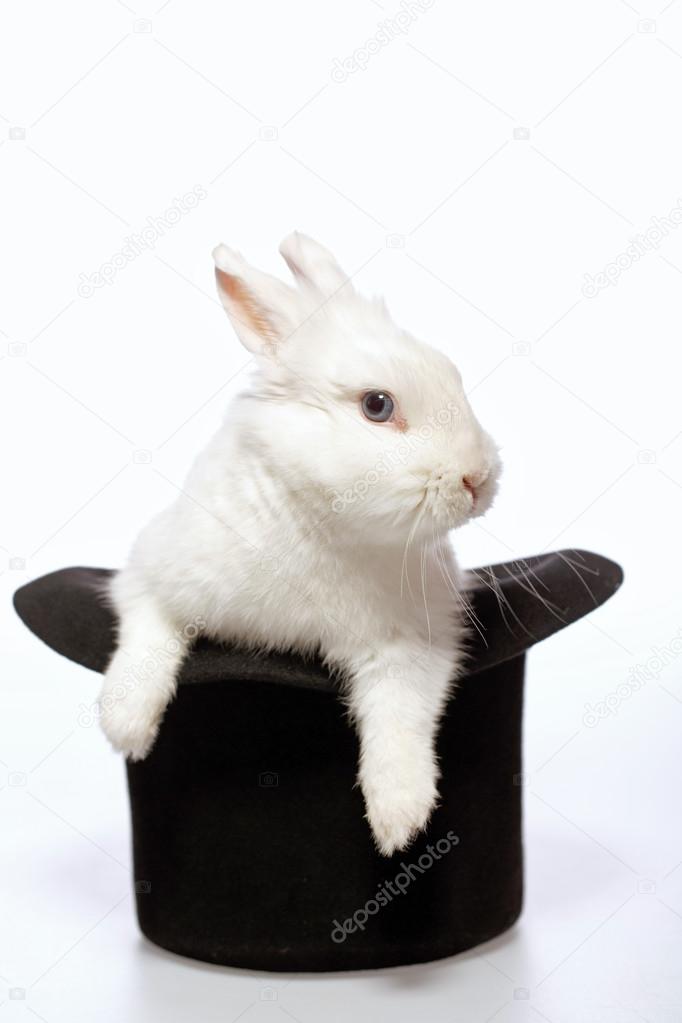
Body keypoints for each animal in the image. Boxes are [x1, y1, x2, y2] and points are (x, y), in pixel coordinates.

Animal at [99, 232, 501, 856]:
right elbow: (147, 635)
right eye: (377, 405)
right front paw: (124, 726)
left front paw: (399, 819)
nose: (477, 478)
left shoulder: (415, 640)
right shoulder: (151, 573)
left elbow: (400, 717)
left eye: (454, 376)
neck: (321, 520)